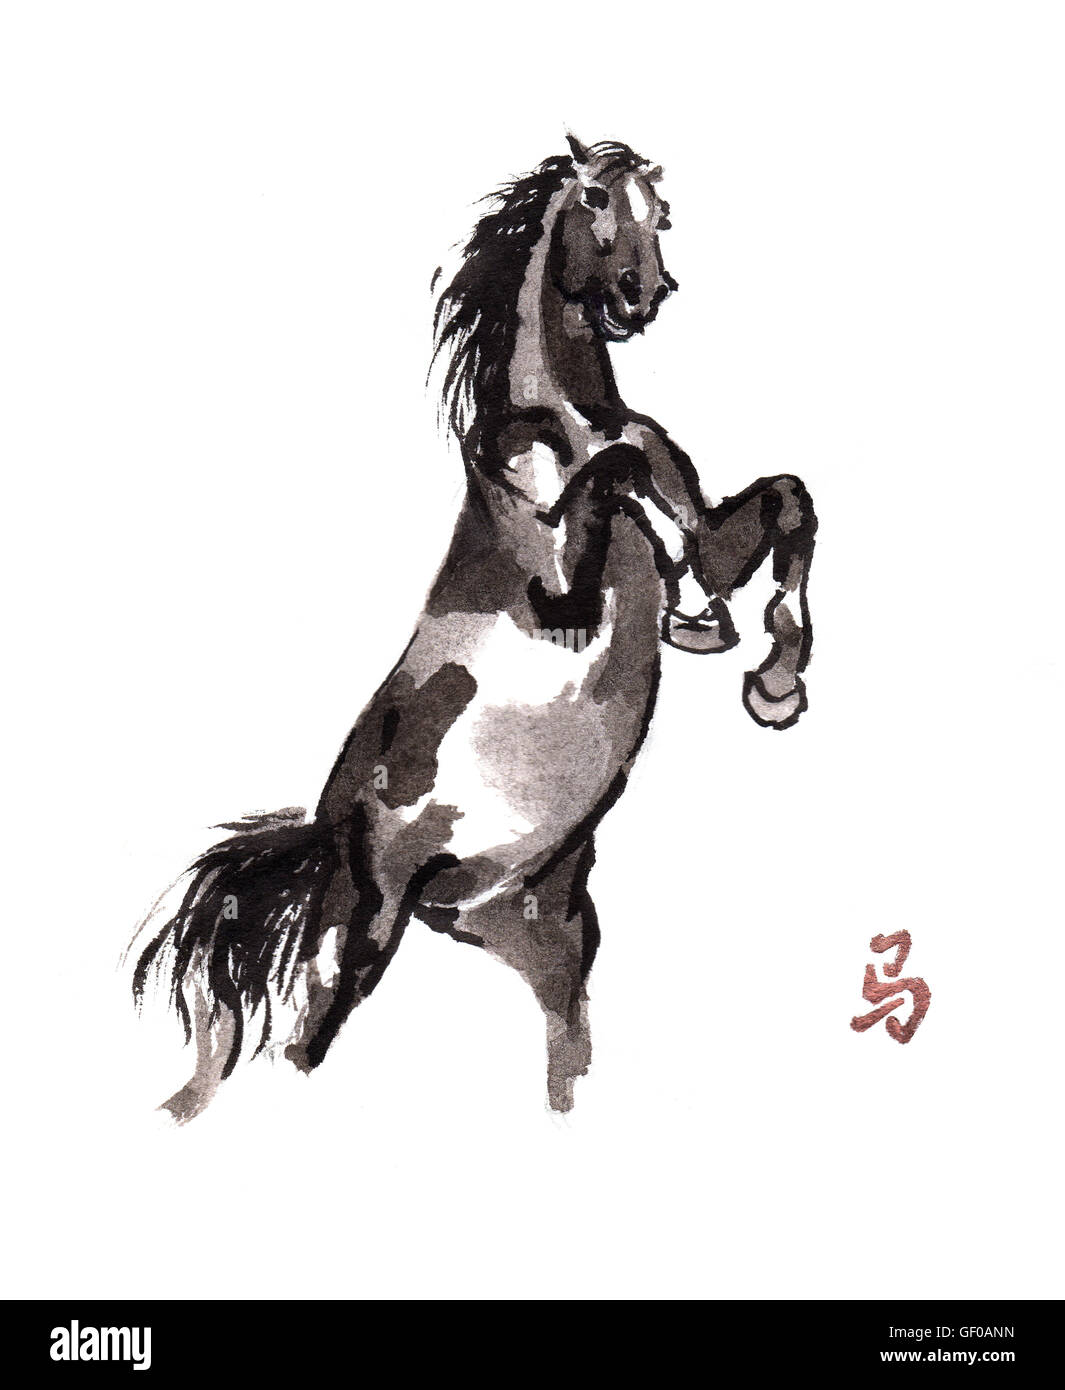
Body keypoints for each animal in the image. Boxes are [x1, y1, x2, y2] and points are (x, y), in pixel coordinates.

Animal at [132, 136, 817, 1122]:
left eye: (660, 213)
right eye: (595, 200)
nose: (642, 295)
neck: (565, 415)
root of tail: (328, 837)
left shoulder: (716, 526)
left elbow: (781, 502)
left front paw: (771, 678)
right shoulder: (561, 587)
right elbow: (620, 473)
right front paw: (701, 619)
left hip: (542, 932)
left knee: (565, 1052)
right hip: (362, 937)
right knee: (302, 1048)